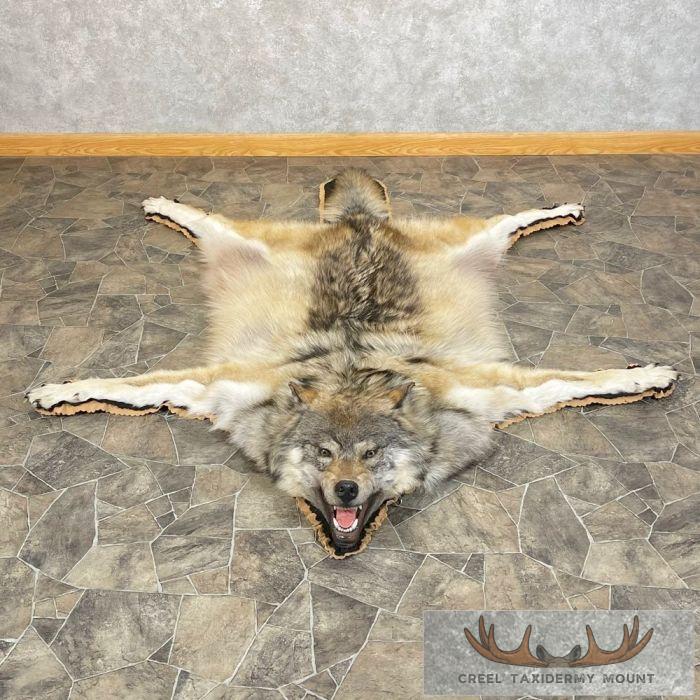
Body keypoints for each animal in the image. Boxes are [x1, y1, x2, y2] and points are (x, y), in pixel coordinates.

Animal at [27, 169, 677, 556]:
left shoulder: (484, 389)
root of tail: (358, 221)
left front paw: (646, 376)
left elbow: (576, 379)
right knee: (203, 216)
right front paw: (62, 390)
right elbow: (131, 383)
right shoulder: (226, 385)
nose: (345, 489)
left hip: (472, 243)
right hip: (240, 243)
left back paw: (558, 206)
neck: (349, 374)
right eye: (322, 453)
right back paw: (164, 201)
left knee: (509, 218)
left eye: (371, 455)